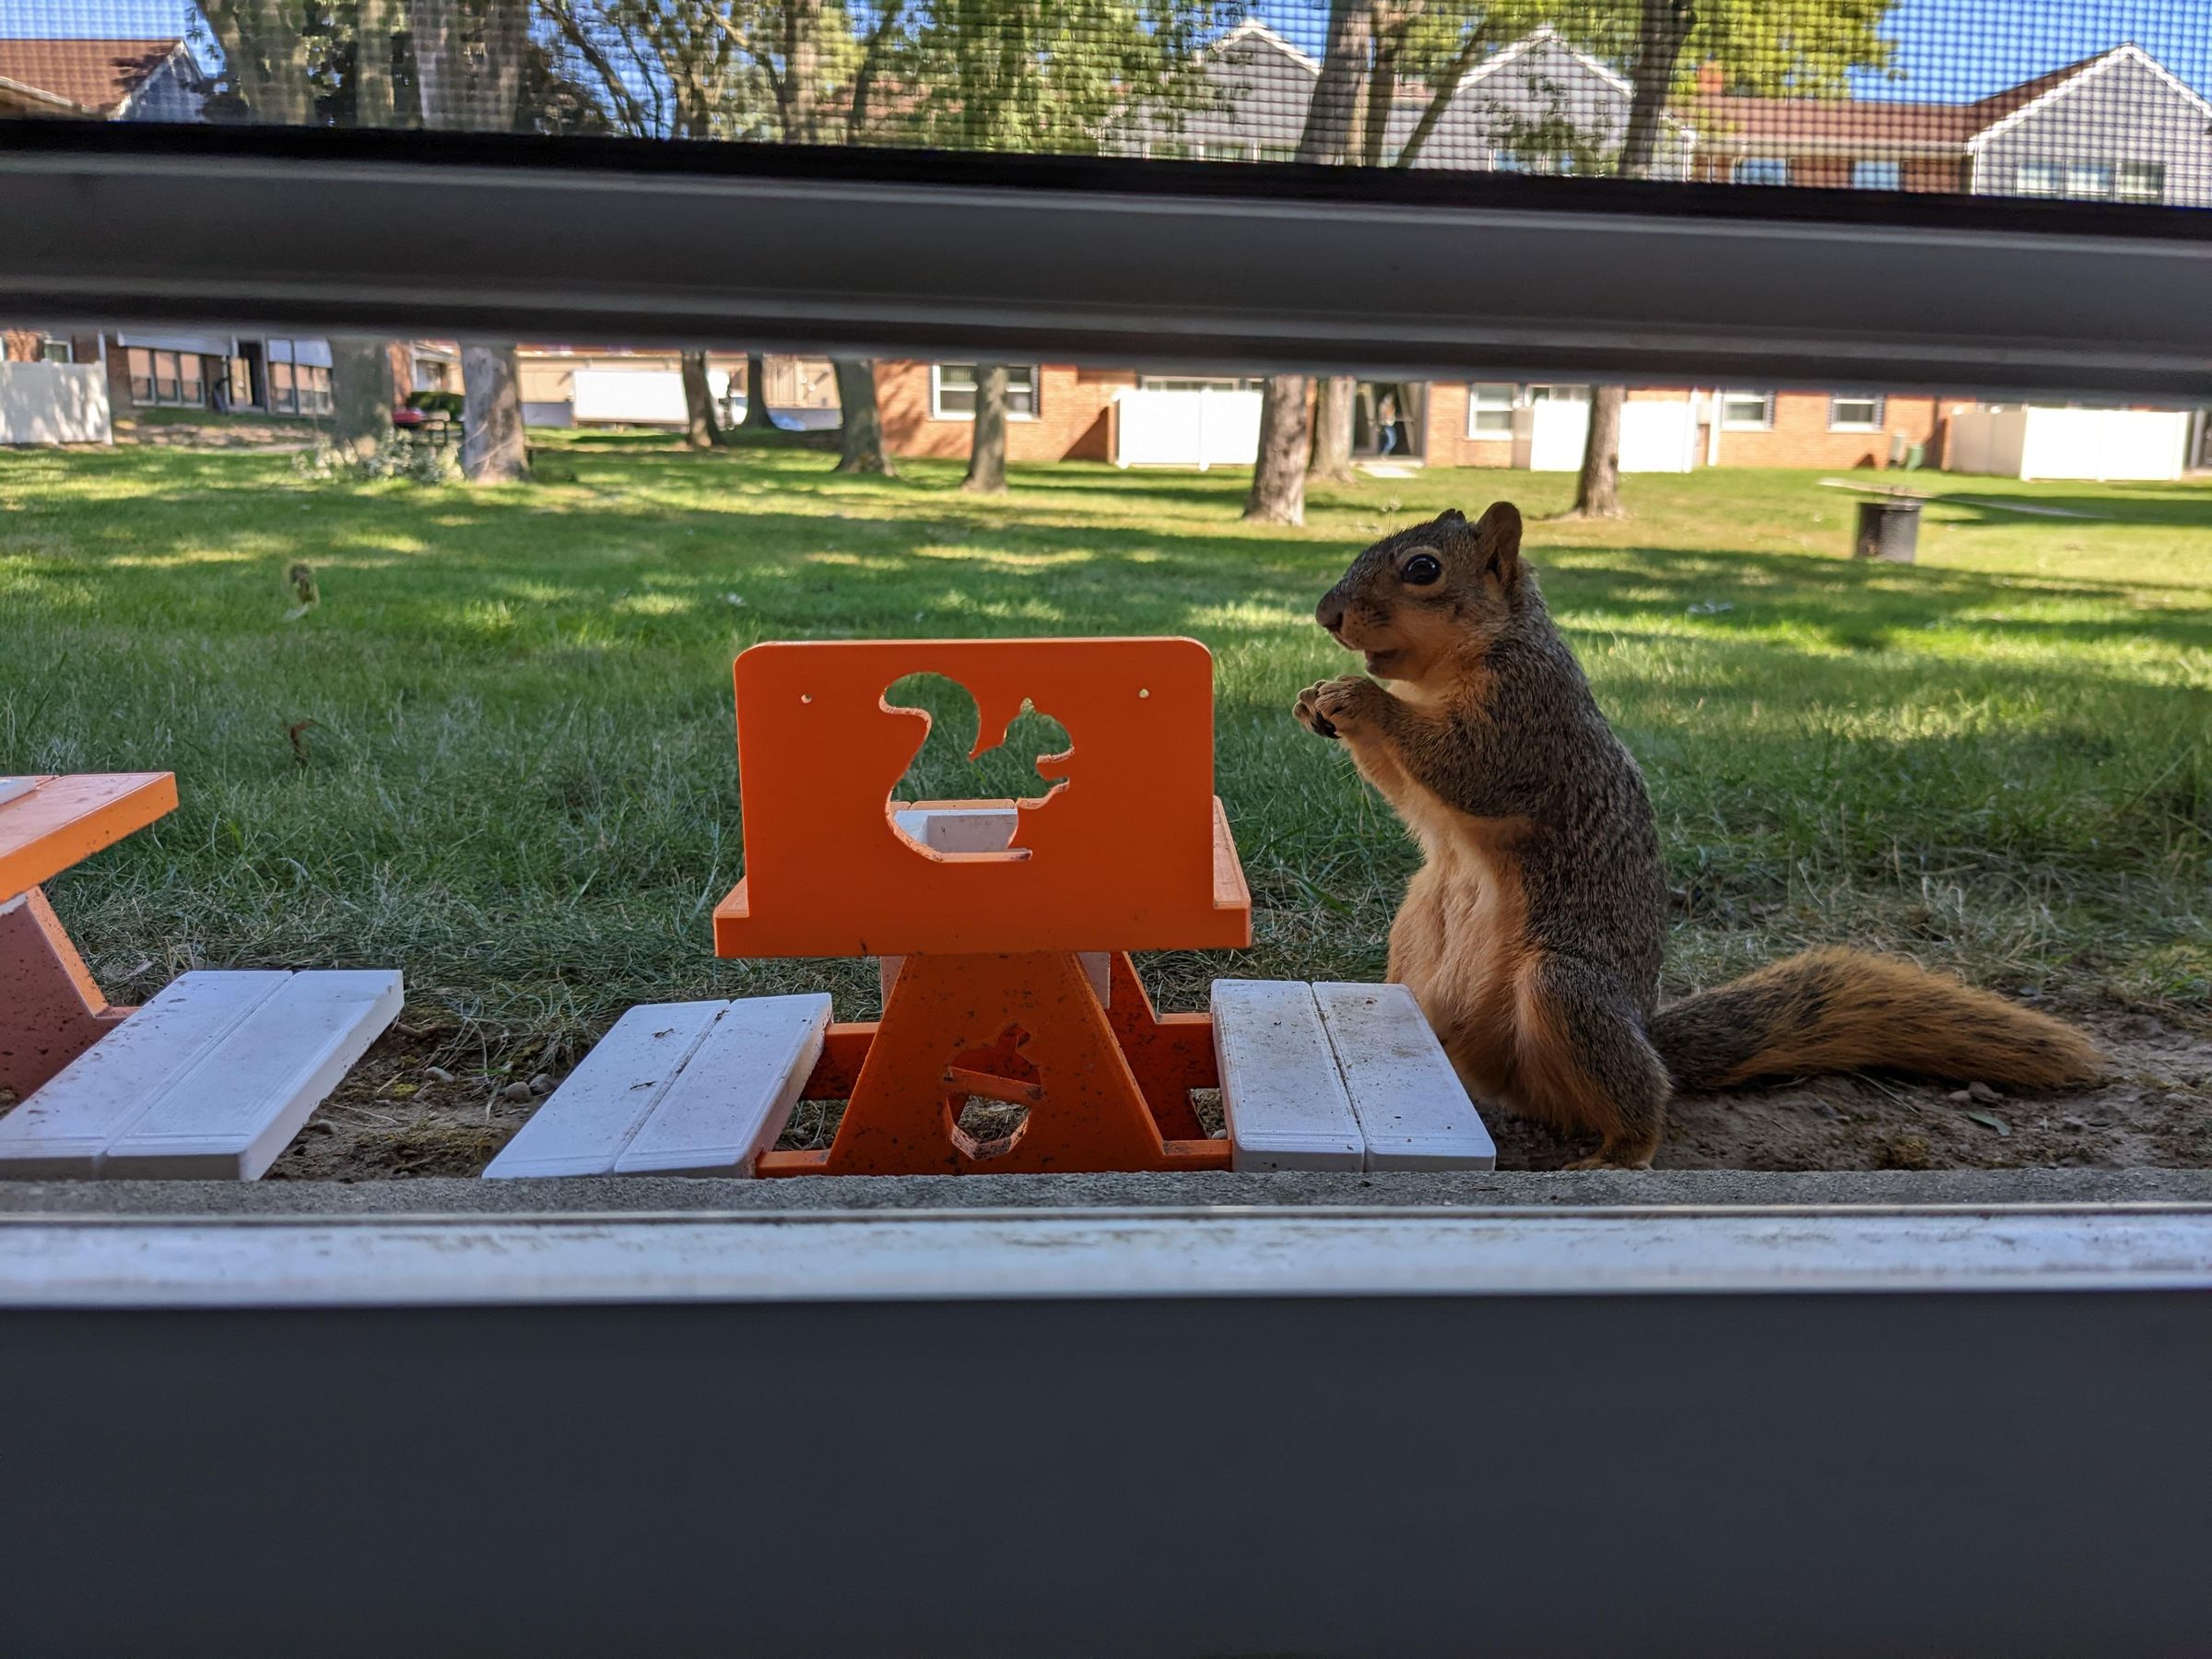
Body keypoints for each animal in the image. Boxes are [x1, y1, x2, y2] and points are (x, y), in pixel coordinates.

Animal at [1294, 502, 2104, 1168]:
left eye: (1422, 569)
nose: (1326, 615)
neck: (1445, 673)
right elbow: (1410, 791)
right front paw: (1315, 700)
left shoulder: (1531, 718)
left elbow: (1471, 767)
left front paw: (1361, 696)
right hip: (1415, 944)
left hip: (1568, 989)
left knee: (1644, 1098)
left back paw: (1619, 1153)